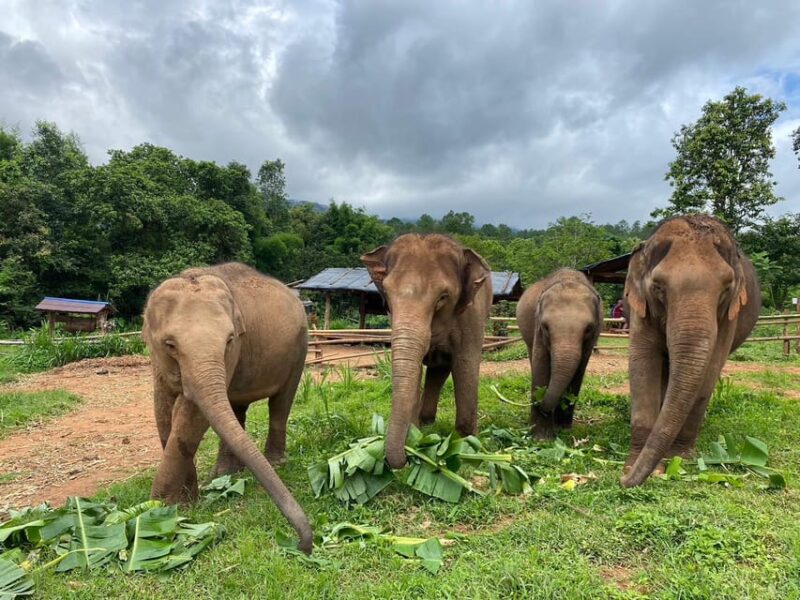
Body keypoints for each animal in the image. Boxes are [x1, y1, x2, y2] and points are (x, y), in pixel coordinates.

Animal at [142, 262, 313, 553]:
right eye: (170, 345)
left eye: (229, 340)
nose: (303, 544)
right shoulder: (158, 361)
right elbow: (163, 411)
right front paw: (177, 505)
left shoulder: (235, 351)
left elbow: (190, 416)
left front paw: (163, 508)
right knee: (237, 408)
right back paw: (225, 475)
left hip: (299, 347)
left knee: (281, 403)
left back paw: (274, 462)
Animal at [362, 234, 492, 469]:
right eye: (387, 295)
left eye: (443, 297)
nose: (406, 458)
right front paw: (416, 437)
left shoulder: (472, 315)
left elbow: (465, 366)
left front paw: (468, 447)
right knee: (437, 371)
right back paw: (426, 423)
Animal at [516, 269, 602, 439]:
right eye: (545, 326)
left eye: (588, 328)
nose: (539, 402)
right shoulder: (538, 329)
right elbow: (541, 364)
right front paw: (541, 438)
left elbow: (579, 370)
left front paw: (563, 427)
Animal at [621, 215, 760, 488]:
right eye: (658, 287)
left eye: (726, 289)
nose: (622, 480)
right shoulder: (641, 307)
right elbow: (643, 362)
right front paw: (635, 465)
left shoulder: (730, 314)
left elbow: (711, 367)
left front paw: (678, 459)